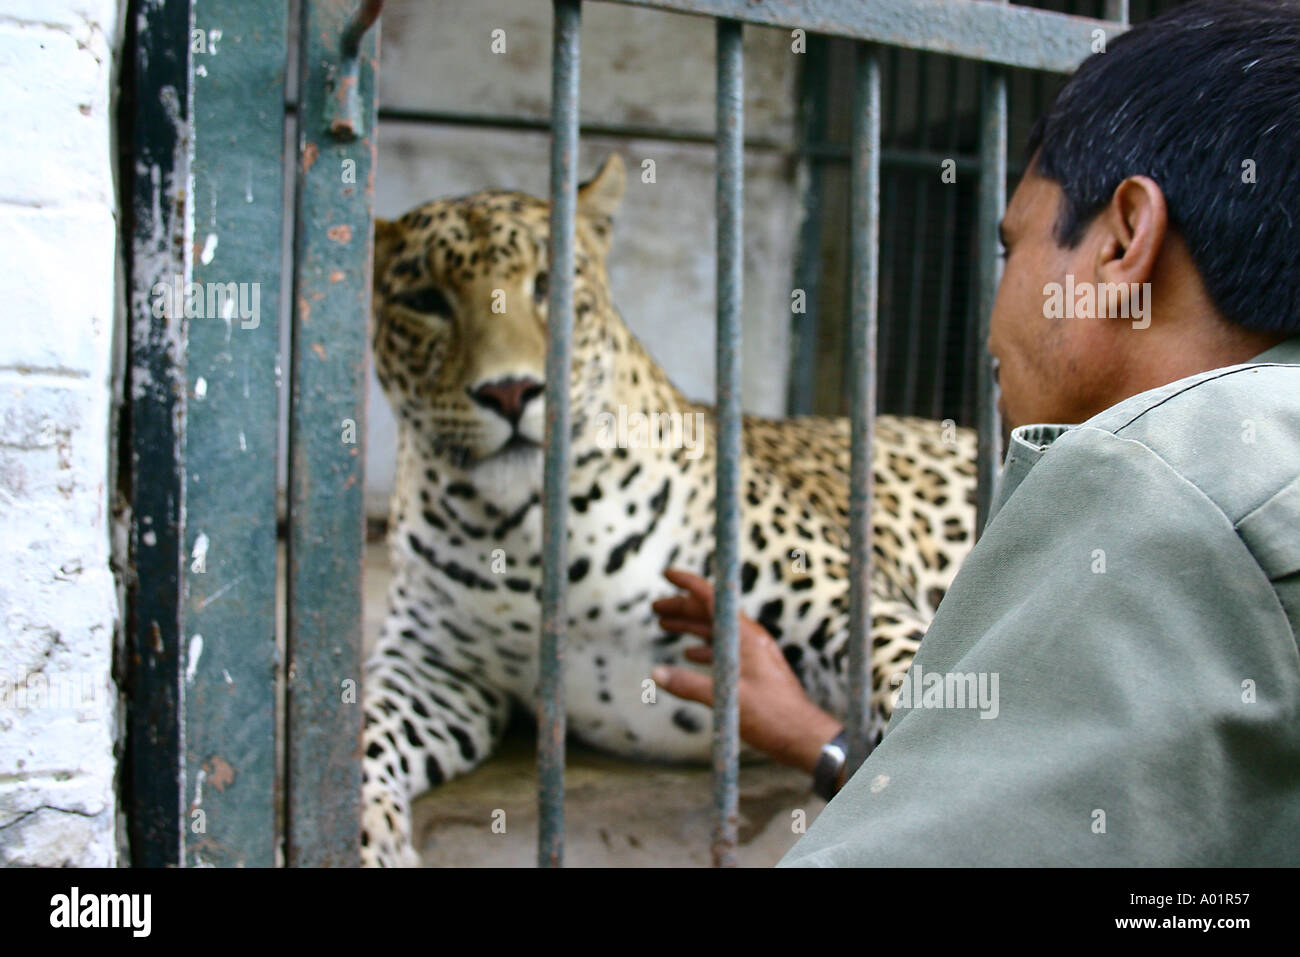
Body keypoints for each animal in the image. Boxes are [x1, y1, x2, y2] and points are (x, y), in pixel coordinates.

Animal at [362, 153, 977, 867]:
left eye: (548, 284)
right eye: (424, 302)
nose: (510, 392)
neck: (529, 534)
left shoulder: (836, 602)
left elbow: (922, 676)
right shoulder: (432, 668)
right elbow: (361, 732)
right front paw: (368, 838)